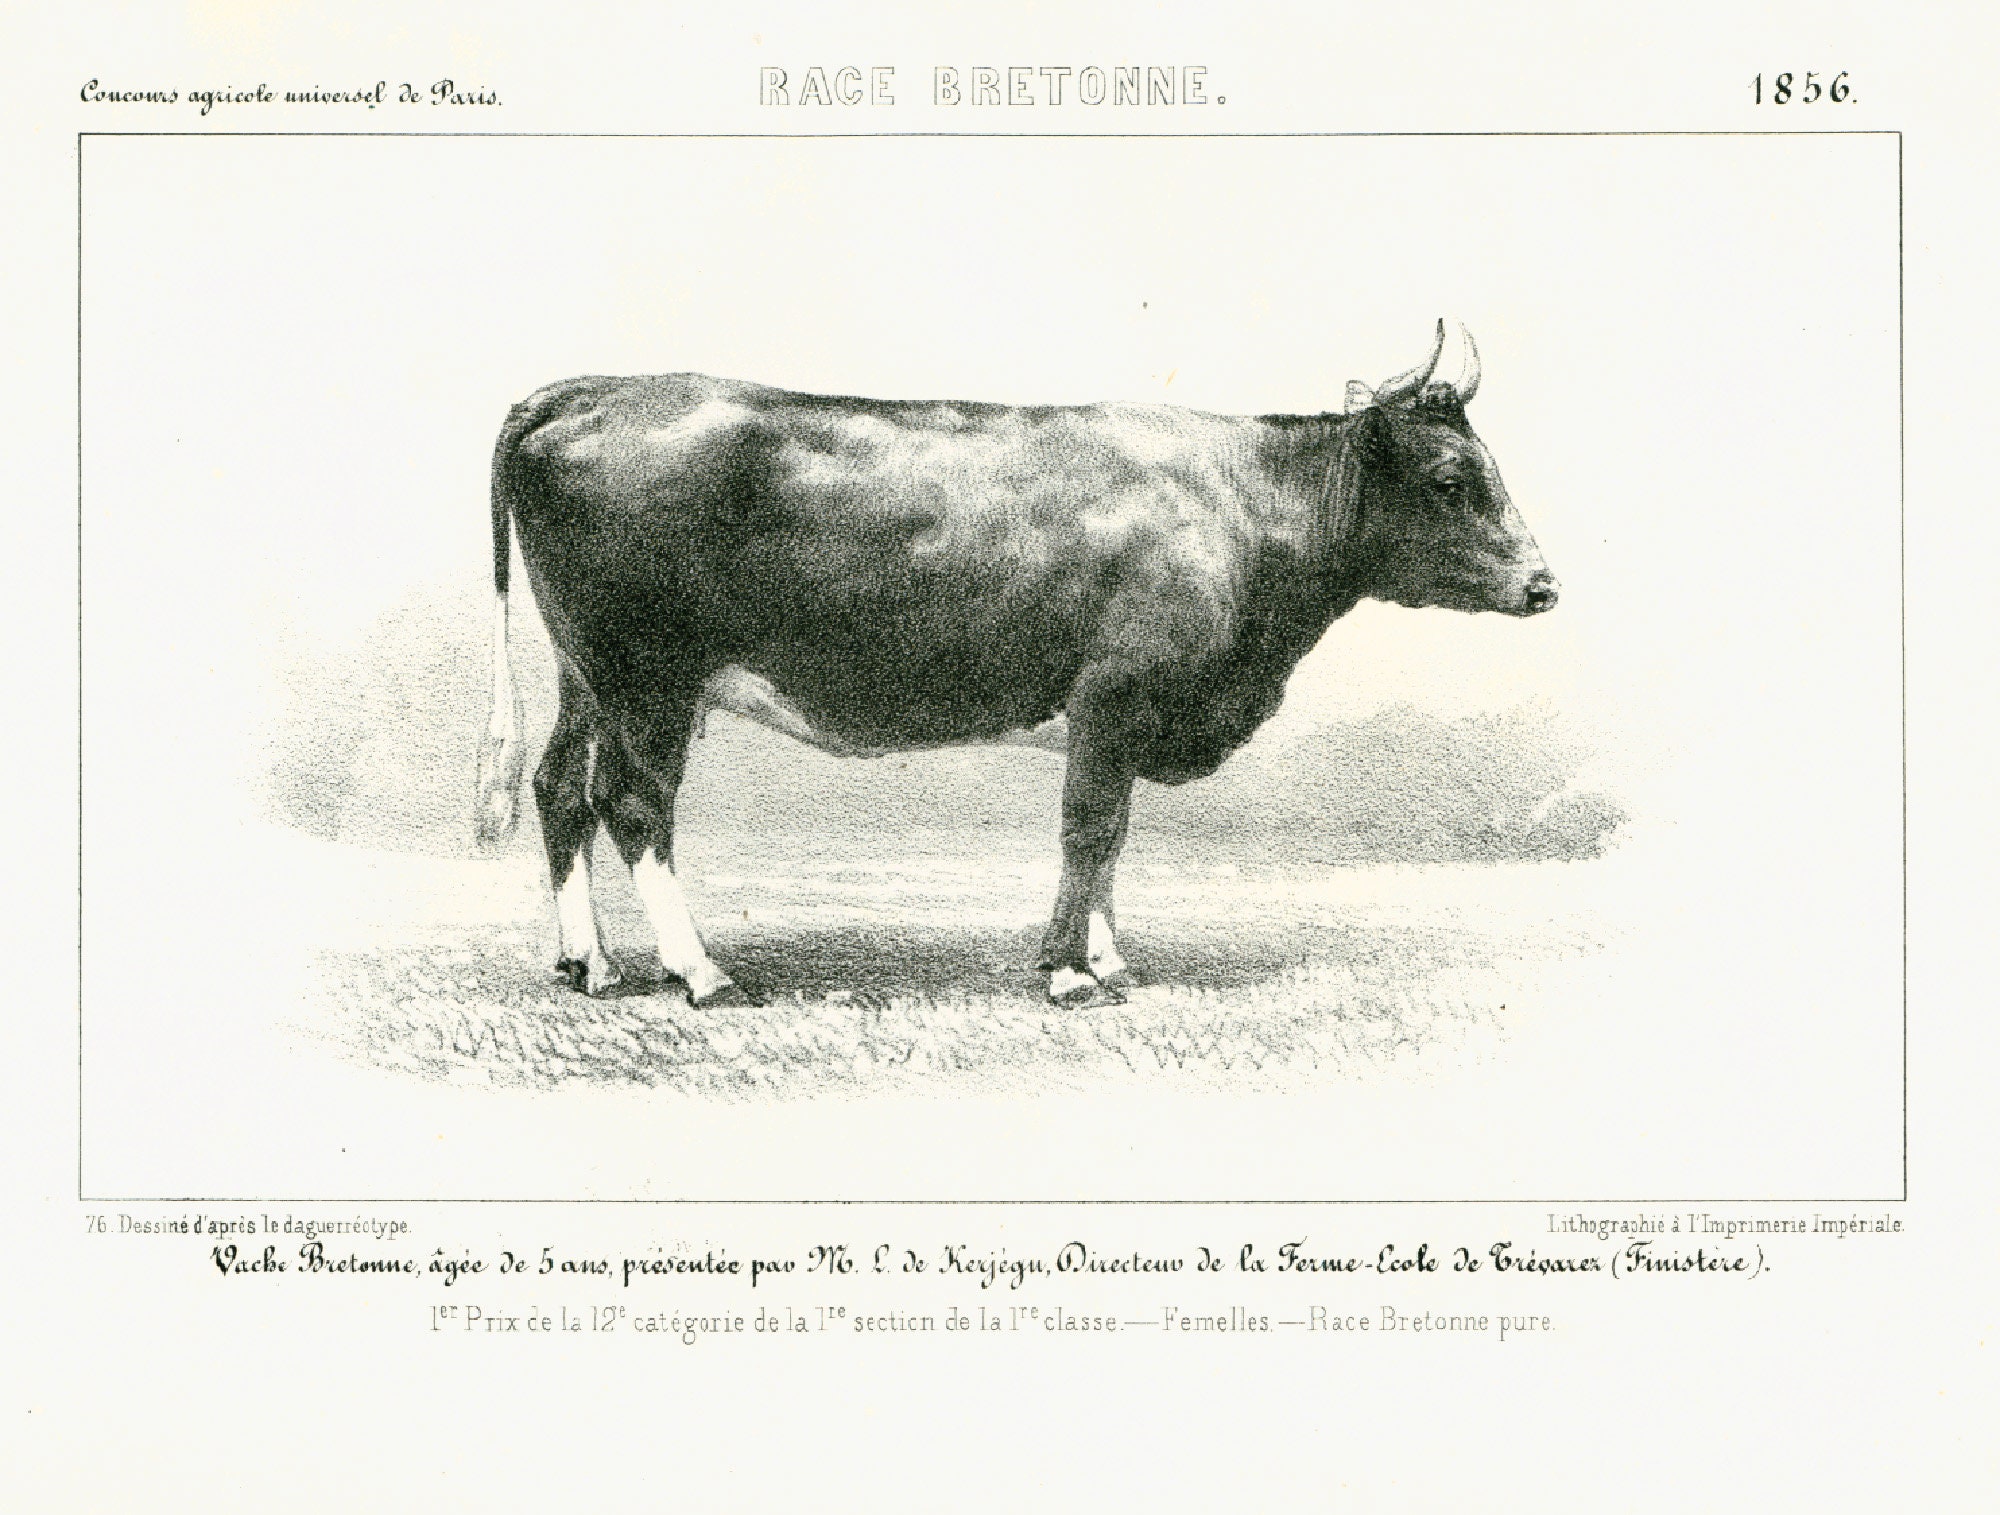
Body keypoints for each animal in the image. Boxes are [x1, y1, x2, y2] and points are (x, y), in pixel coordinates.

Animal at [474, 322, 1556, 1007]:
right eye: (1449, 478)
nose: (1544, 586)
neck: (1238, 504)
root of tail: (584, 389)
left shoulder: (1120, 719)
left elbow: (1112, 839)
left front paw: (1107, 961)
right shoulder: (1113, 695)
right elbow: (1089, 830)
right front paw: (1070, 973)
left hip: (585, 671)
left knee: (558, 788)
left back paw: (590, 965)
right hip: (649, 677)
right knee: (632, 805)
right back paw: (699, 973)